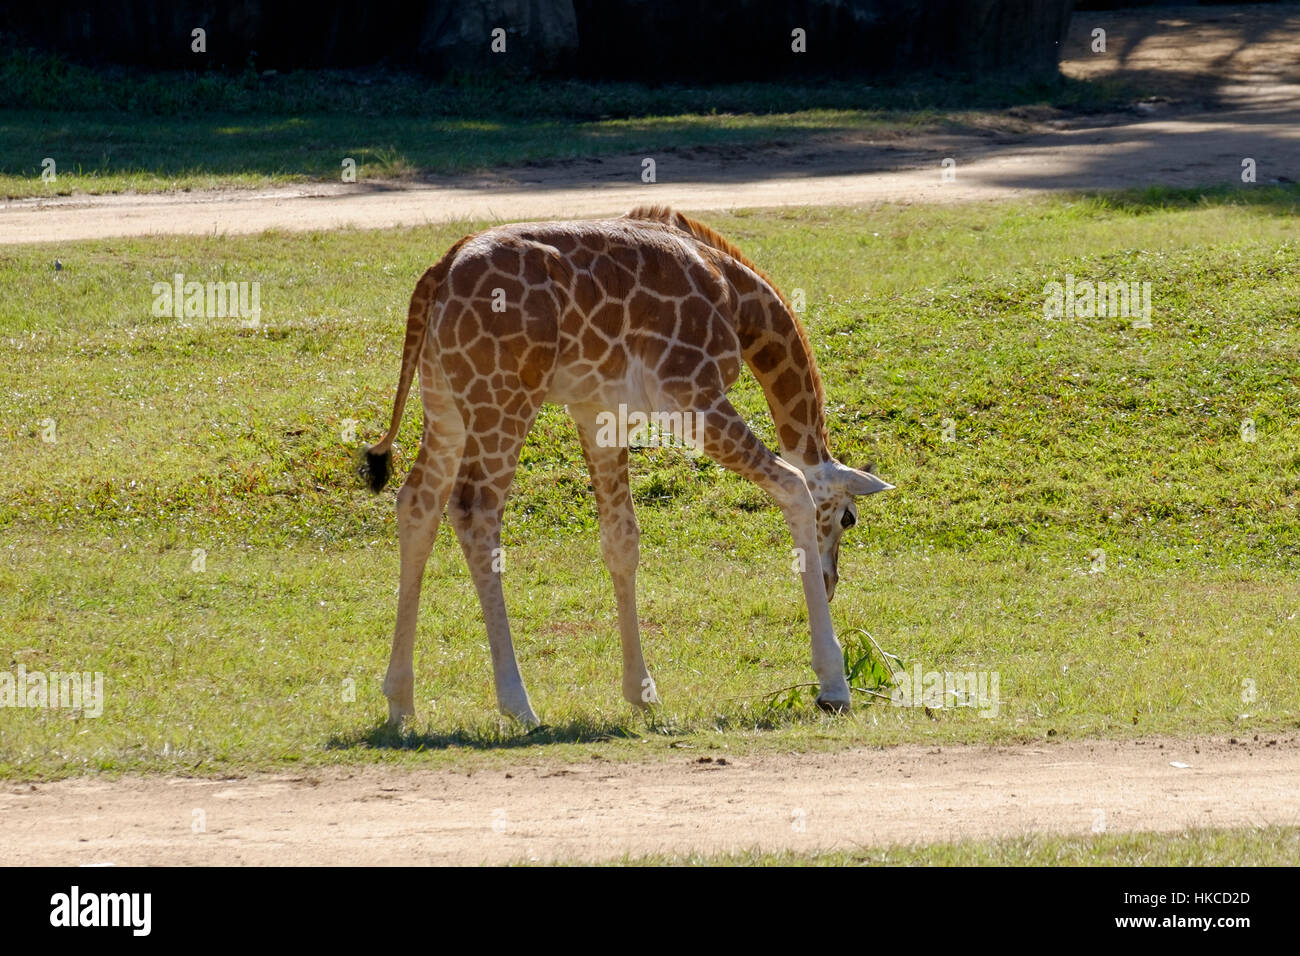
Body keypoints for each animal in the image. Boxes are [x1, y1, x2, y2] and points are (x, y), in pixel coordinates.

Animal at [359, 205, 893, 728]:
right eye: (848, 518)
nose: (831, 582)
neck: (740, 305)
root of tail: (438, 272)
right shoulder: (691, 396)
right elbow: (797, 487)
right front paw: (833, 685)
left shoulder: (601, 412)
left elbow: (622, 540)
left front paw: (642, 694)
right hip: (504, 397)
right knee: (475, 511)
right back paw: (519, 704)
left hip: (445, 401)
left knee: (417, 503)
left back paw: (399, 701)